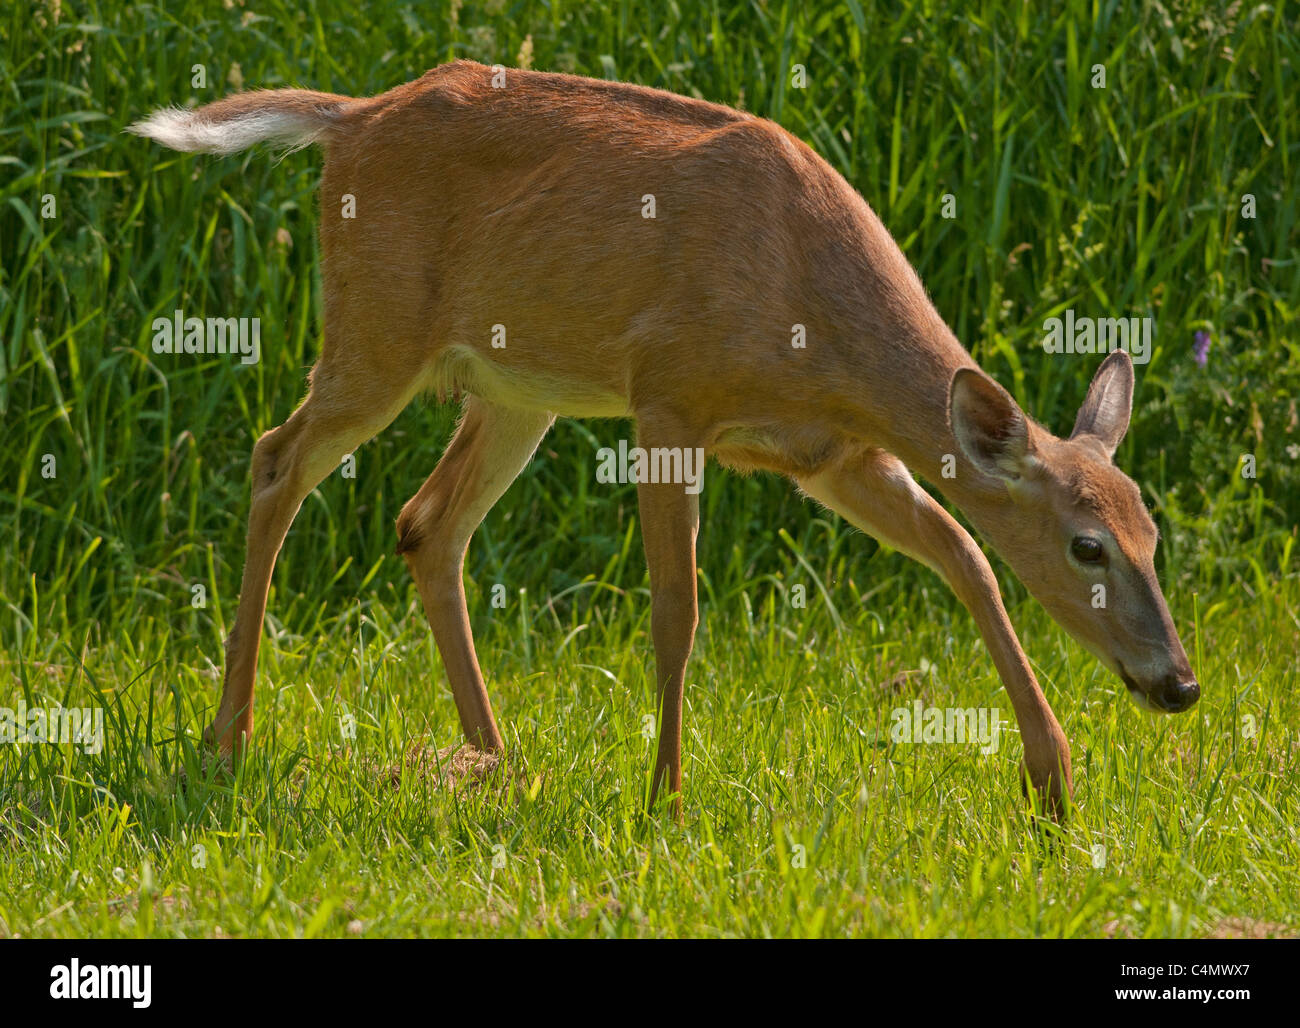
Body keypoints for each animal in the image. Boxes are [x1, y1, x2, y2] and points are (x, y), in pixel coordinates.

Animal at [129, 59, 1199, 822]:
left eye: (1153, 537)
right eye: (1087, 546)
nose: (1181, 684)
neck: (811, 315)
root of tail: (349, 118)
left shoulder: (833, 456)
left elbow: (967, 556)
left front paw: (1053, 783)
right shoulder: (668, 402)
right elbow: (677, 615)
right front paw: (667, 802)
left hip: (516, 389)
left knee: (426, 520)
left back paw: (492, 758)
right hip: (378, 330)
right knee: (277, 456)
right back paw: (227, 743)